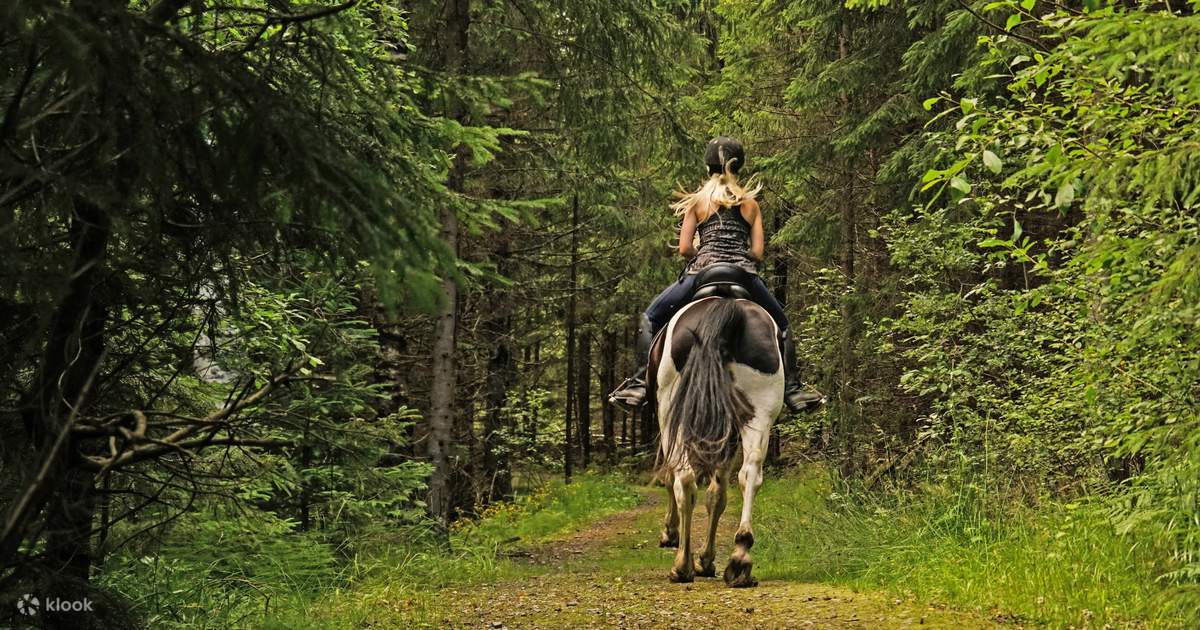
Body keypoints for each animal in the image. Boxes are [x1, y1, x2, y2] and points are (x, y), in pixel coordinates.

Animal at [647, 274, 785, 588]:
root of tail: (727, 308)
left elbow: (675, 479)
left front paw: (672, 535)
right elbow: (717, 495)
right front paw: (707, 560)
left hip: (673, 409)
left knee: (684, 479)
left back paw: (682, 566)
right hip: (760, 410)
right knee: (750, 474)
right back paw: (740, 559)